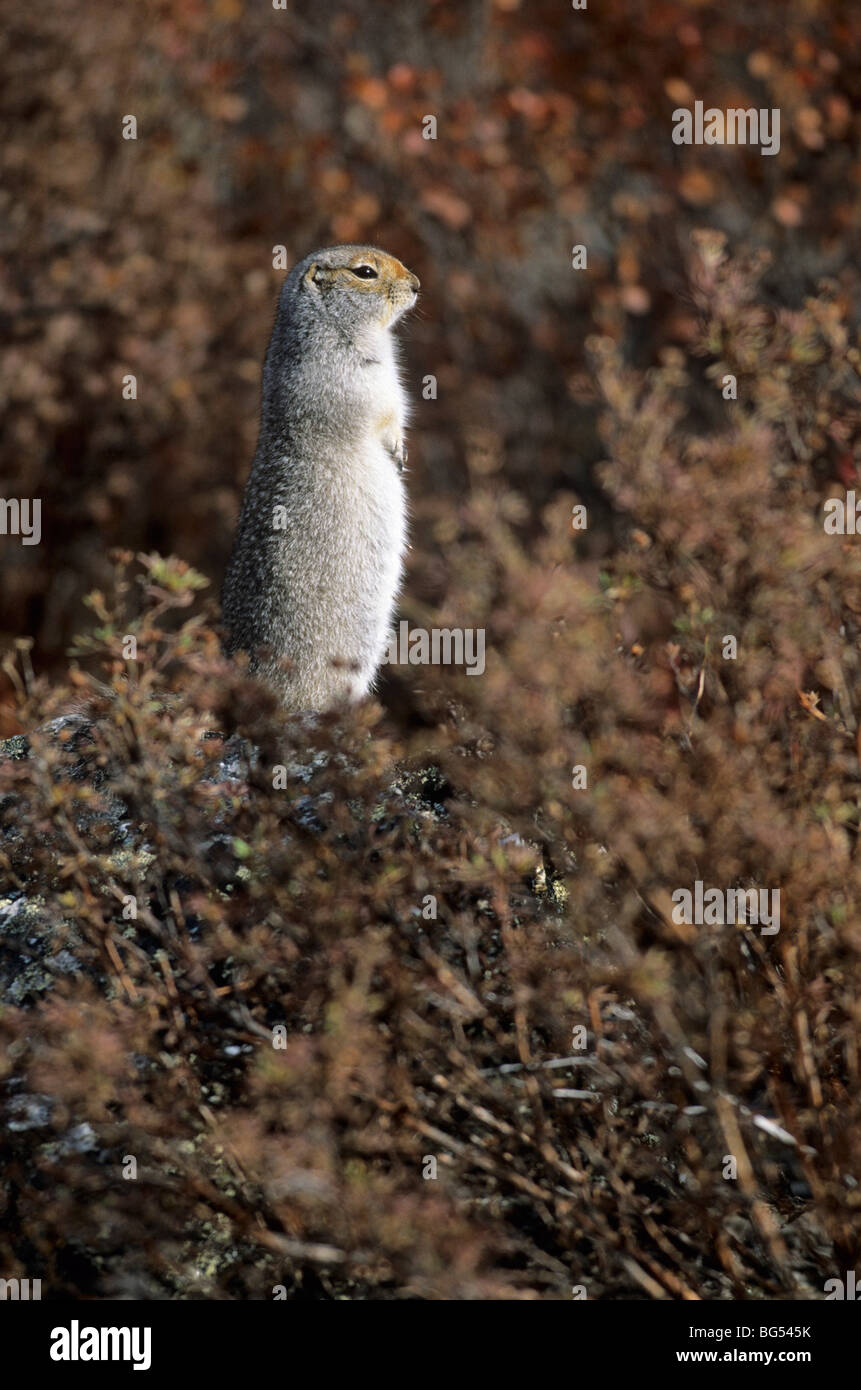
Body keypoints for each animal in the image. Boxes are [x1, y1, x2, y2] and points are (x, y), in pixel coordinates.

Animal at [221, 244, 420, 712]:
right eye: (365, 272)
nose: (418, 285)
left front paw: (402, 453)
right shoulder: (348, 378)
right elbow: (380, 412)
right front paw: (394, 448)